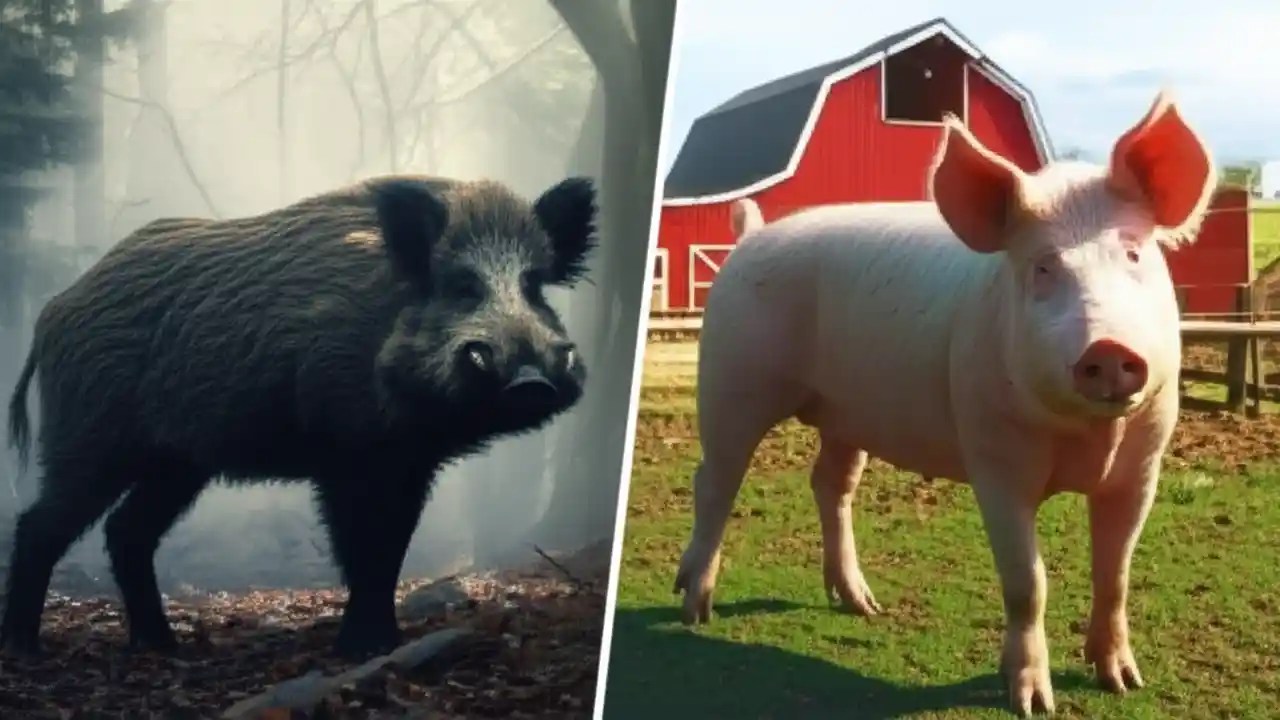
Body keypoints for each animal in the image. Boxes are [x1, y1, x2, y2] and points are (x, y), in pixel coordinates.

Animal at [3, 174, 598, 659]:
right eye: (461, 285)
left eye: (535, 285)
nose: (530, 379)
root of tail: (53, 312)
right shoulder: (346, 452)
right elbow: (360, 548)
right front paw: (361, 648)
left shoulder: (409, 463)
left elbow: (392, 548)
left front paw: (385, 642)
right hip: (90, 436)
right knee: (40, 524)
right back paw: (27, 648)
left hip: (178, 462)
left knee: (127, 530)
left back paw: (164, 646)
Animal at [675, 91, 1215, 716]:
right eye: (1043, 266)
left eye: (1133, 254)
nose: (1107, 349)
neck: (1087, 436)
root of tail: (749, 237)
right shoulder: (994, 456)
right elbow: (1028, 582)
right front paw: (1032, 702)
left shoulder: (1143, 464)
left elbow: (1116, 574)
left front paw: (1124, 682)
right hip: (730, 376)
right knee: (714, 480)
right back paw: (696, 609)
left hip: (845, 410)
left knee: (829, 482)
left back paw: (862, 605)